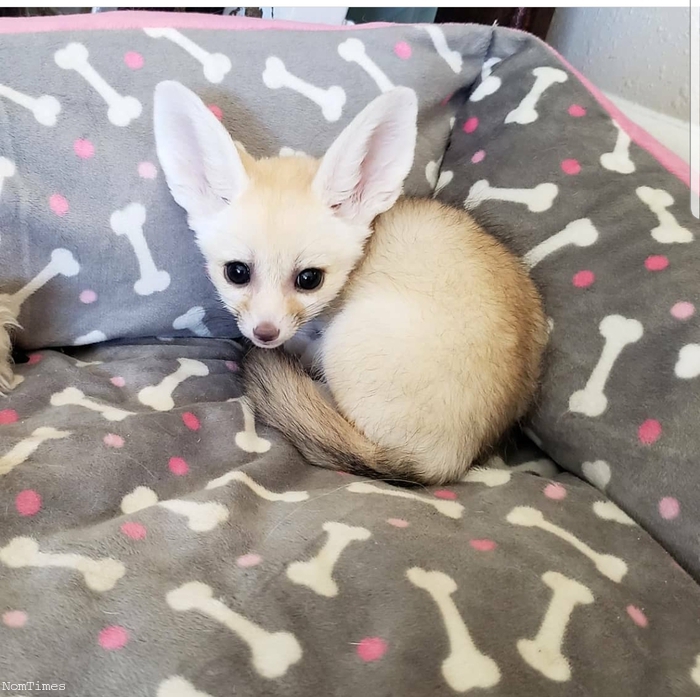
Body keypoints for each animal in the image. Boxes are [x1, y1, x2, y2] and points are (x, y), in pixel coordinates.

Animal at [154, 81, 548, 485]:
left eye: (309, 279)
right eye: (236, 272)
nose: (265, 334)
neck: (369, 241)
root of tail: (441, 463)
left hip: (344, 341)